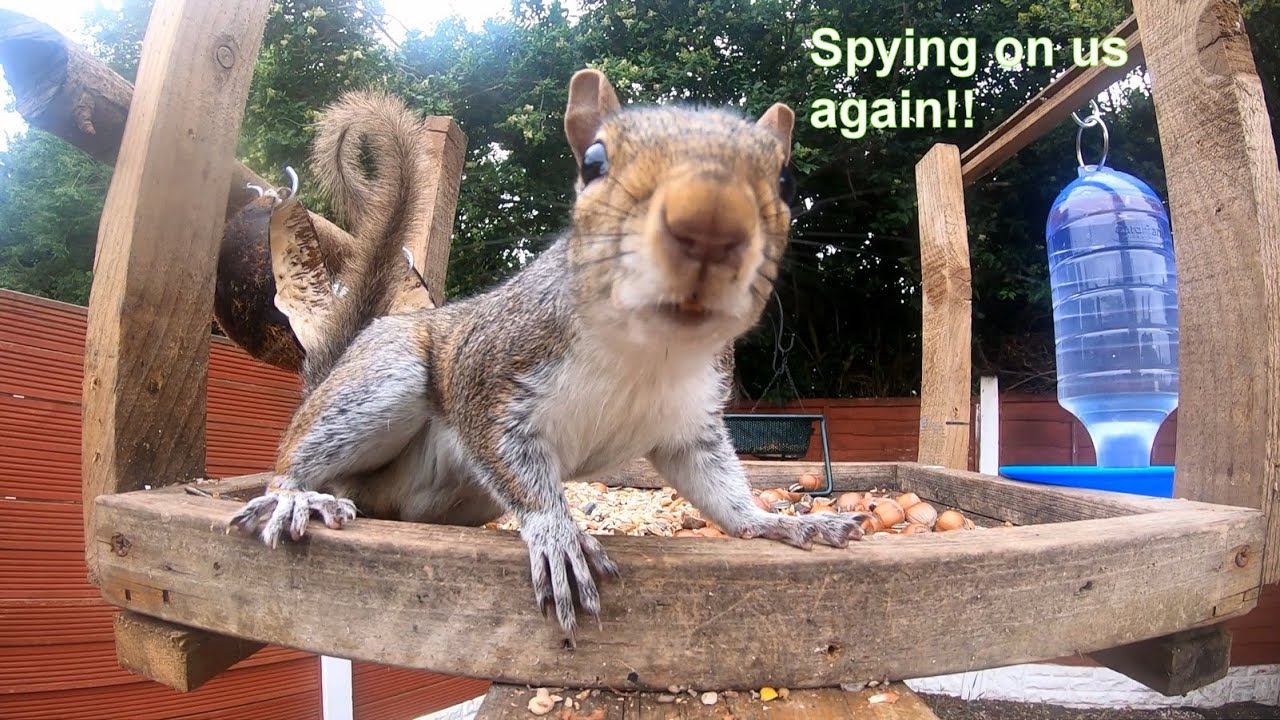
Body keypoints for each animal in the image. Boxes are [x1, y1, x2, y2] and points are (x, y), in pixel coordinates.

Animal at [229, 69, 866, 642]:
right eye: (595, 162)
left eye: (785, 181)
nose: (709, 224)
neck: (645, 352)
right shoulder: (489, 376)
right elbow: (512, 464)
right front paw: (557, 533)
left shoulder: (692, 427)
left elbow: (721, 490)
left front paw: (777, 522)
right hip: (382, 379)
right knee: (295, 458)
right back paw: (293, 497)